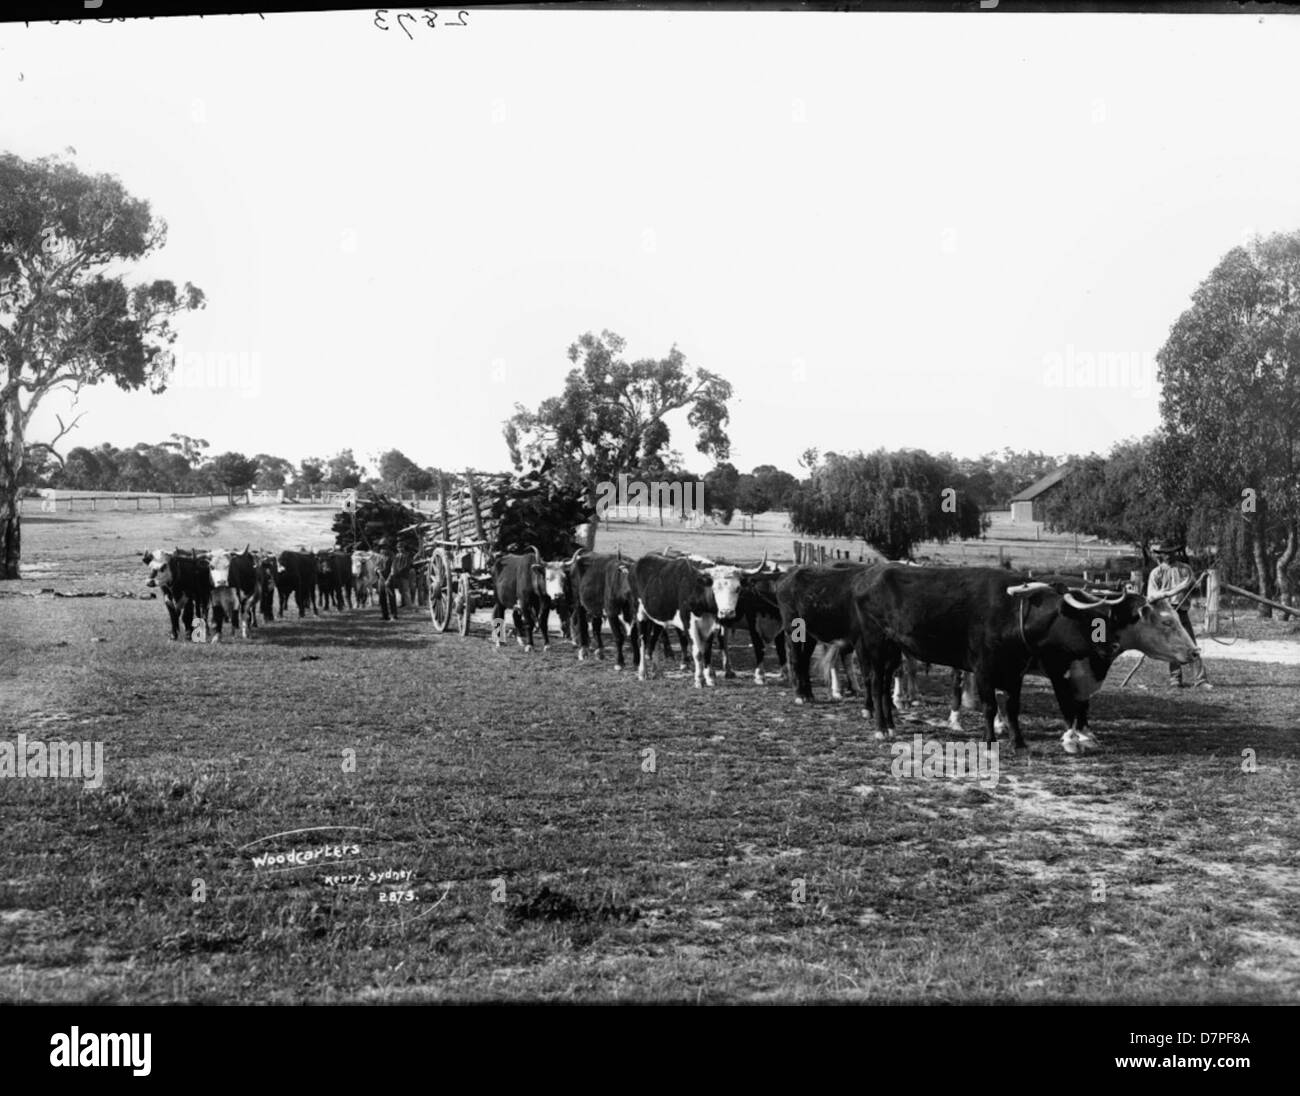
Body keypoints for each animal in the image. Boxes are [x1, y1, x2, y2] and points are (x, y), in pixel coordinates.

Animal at [848, 565, 1200, 748]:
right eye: (1166, 622)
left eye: (1176, 617)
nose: (1194, 651)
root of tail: (870, 573)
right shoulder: (1040, 669)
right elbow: (1061, 705)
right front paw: (1071, 737)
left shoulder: (1017, 670)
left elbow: (1018, 705)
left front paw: (1022, 739)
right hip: (875, 644)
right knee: (876, 683)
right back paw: (883, 726)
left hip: (893, 649)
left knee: (885, 683)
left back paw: (892, 723)